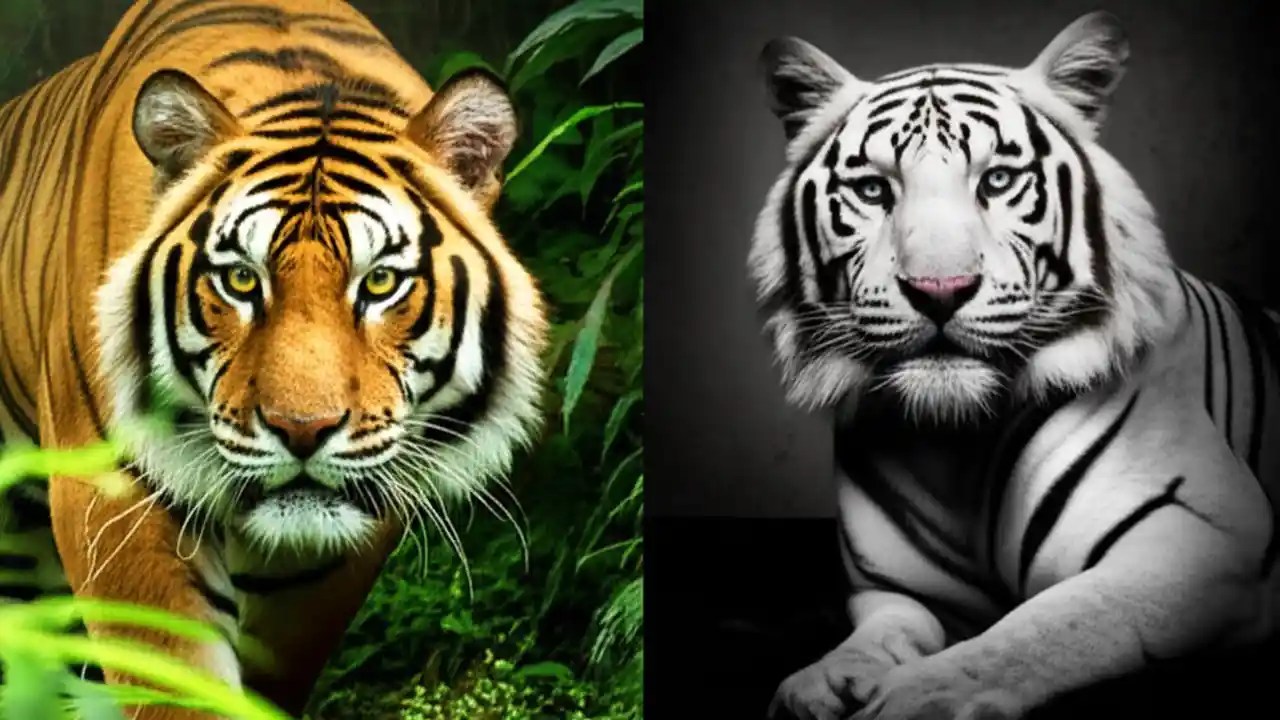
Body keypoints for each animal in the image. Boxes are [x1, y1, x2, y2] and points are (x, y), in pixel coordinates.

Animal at [749, 11, 1280, 720]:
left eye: (997, 181)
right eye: (873, 191)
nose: (939, 289)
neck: (956, 450)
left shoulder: (1206, 539)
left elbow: (1048, 623)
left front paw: (921, 694)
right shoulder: (895, 592)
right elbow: (878, 634)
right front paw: (824, 682)